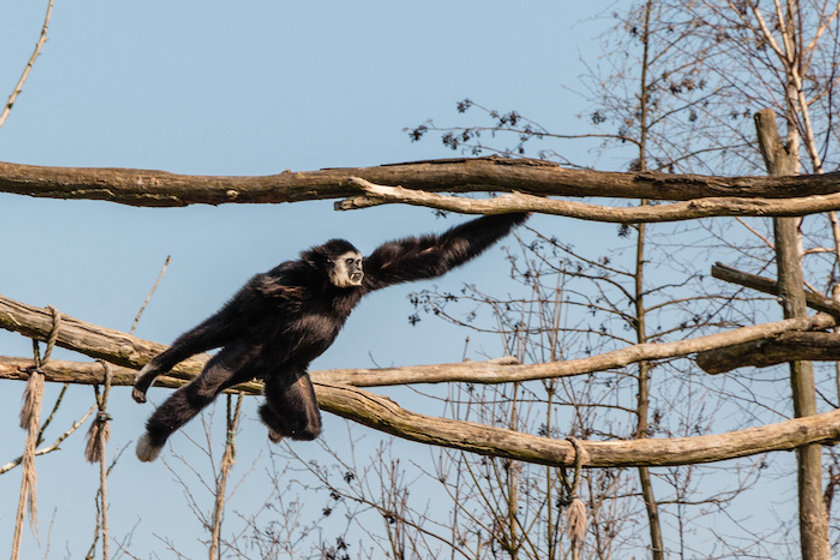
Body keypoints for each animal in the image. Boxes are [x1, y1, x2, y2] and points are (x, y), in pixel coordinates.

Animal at [132, 212, 528, 462]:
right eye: (350, 261)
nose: (358, 269)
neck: (324, 287)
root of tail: (262, 369)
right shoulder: (280, 277)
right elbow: (236, 316)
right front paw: (157, 366)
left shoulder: (373, 273)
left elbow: (439, 252)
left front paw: (519, 205)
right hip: (251, 352)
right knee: (207, 385)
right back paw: (153, 439)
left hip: (285, 373)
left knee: (307, 424)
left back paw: (273, 421)